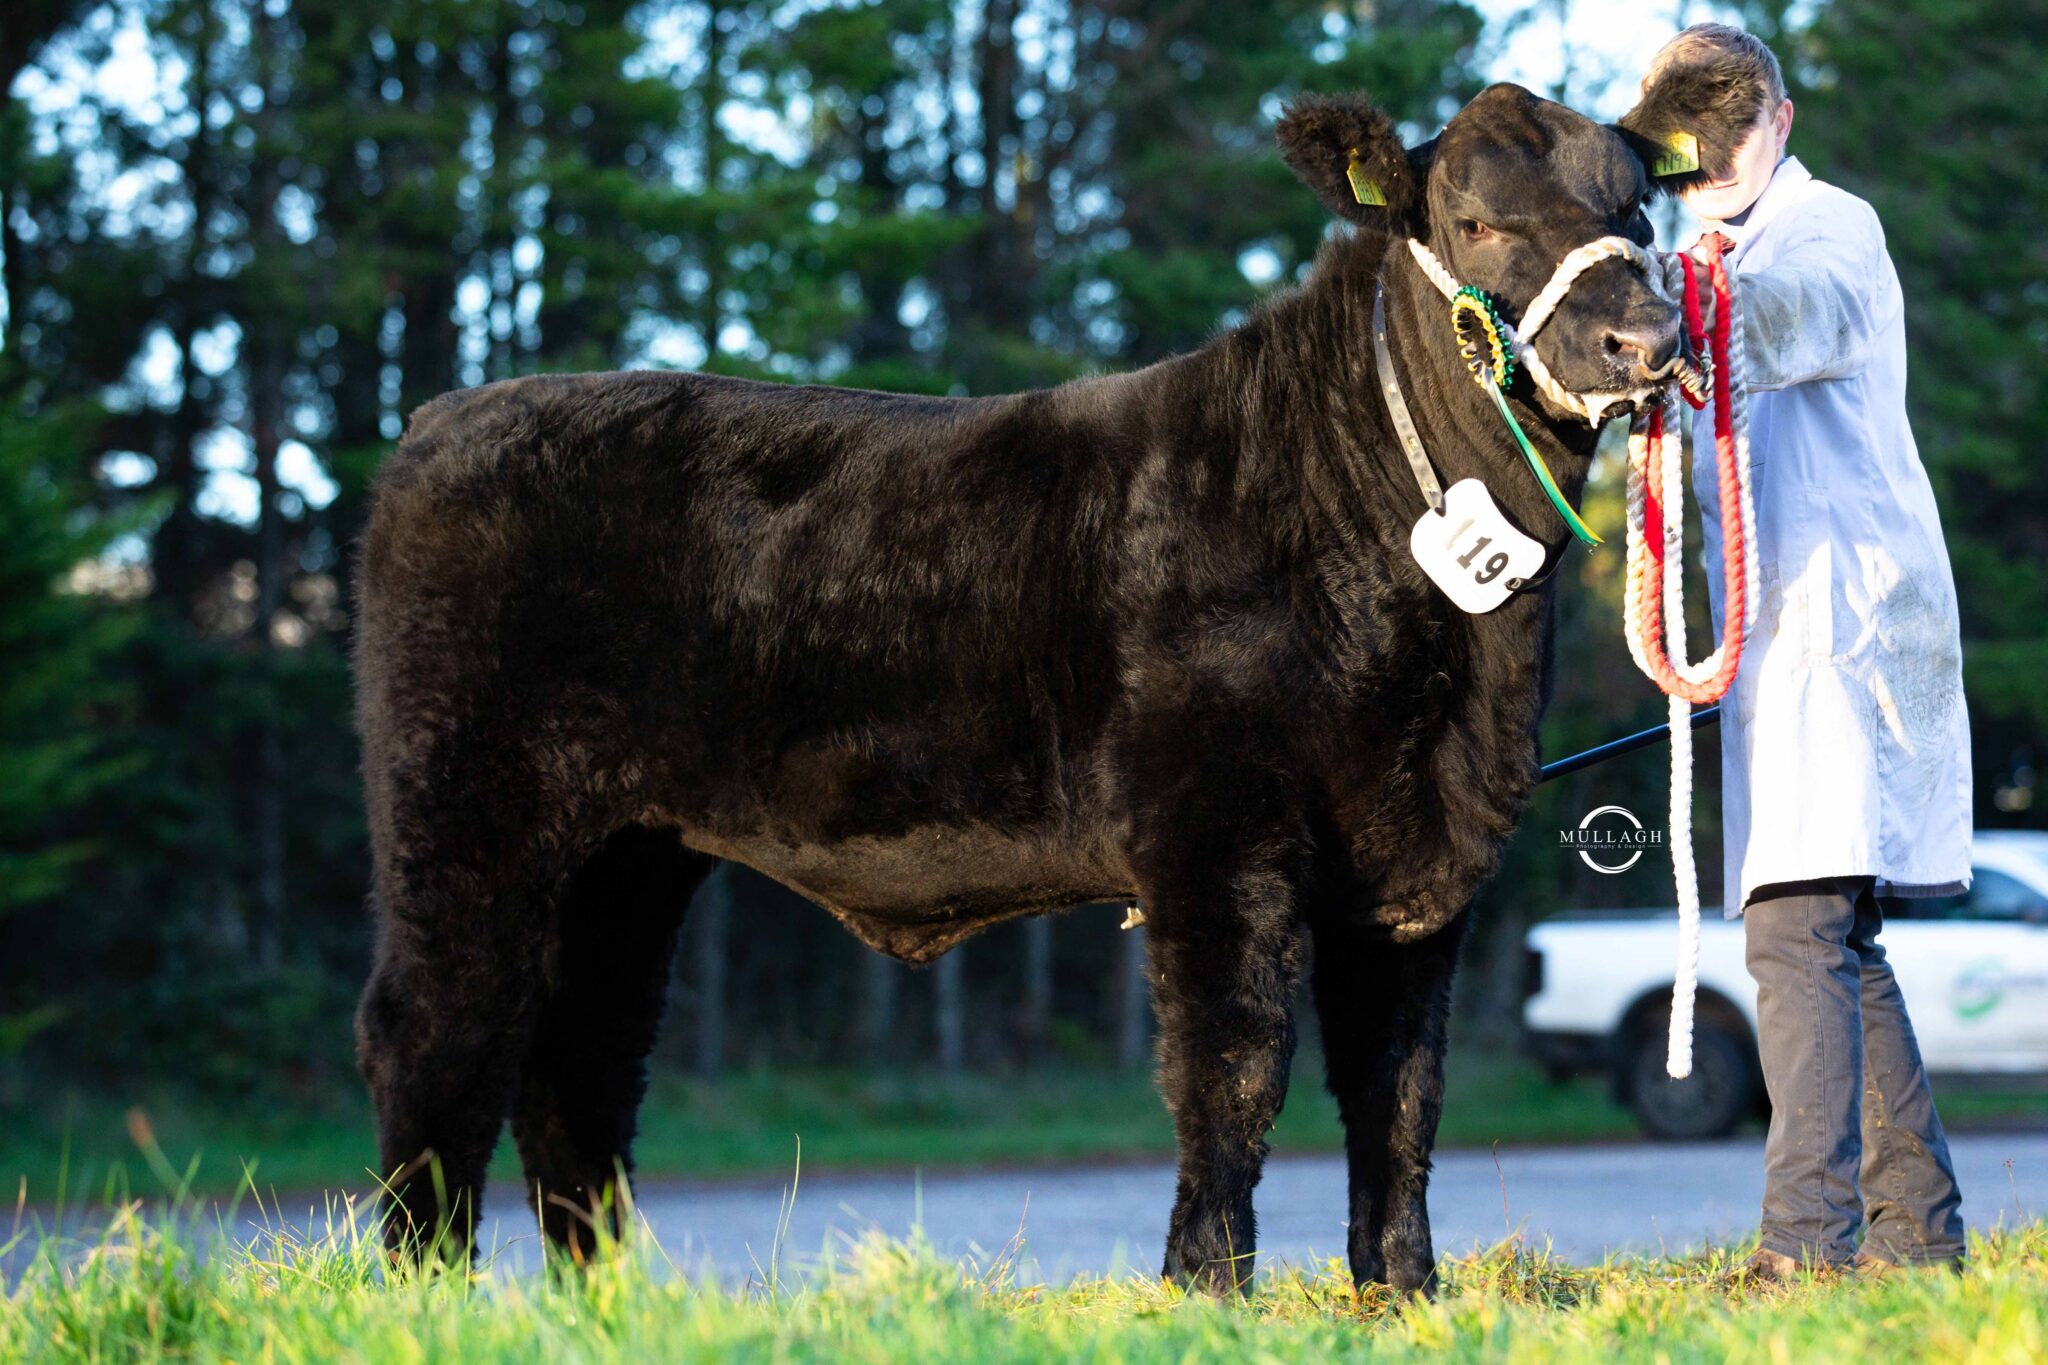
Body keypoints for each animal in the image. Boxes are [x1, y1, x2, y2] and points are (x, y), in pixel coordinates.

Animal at [350, 80, 1685, 1297]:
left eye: (1638, 210)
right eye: (1475, 222)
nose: (1642, 340)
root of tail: (446, 417)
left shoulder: (1417, 859)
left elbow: (1399, 1082)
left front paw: (1402, 1289)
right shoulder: (1212, 827)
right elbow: (1232, 1060)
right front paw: (1205, 1285)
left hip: (628, 851)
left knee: (580, 1051)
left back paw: (608, 1300)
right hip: (465, 804)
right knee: (438, 1022)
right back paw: (427, 1286)